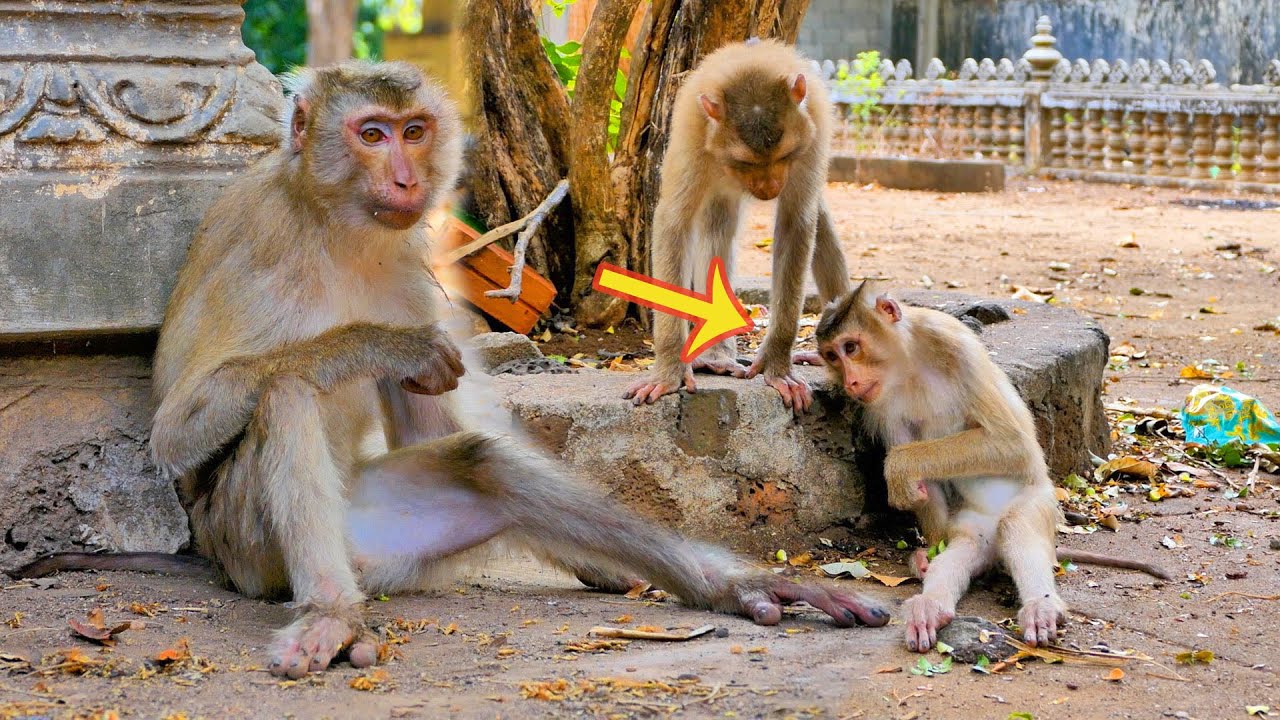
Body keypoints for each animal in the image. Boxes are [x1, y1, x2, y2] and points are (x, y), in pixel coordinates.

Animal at [624, 39, 848, 414]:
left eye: (784, 155)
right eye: (744, 161)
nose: (769, 187)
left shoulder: (813, 132)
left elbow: (796, 224)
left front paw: (777, 364)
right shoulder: (693, 134)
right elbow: (674, 224)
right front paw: (669, 368)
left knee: (819, 225)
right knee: (717, 228)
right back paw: (716, 355)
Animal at [813, 283, 1169, 652]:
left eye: (851, 347)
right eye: (831, 356)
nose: (850, 383)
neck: (907, 365)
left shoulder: (954, 344)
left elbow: (1012, 444)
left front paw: (899, 467)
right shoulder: (879, 407)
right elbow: (925, 486)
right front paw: (924, 553)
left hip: (1038, 502)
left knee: (1018, 525)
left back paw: (1040, 606)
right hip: (973, 526)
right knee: (963, 547)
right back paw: (931, 607)